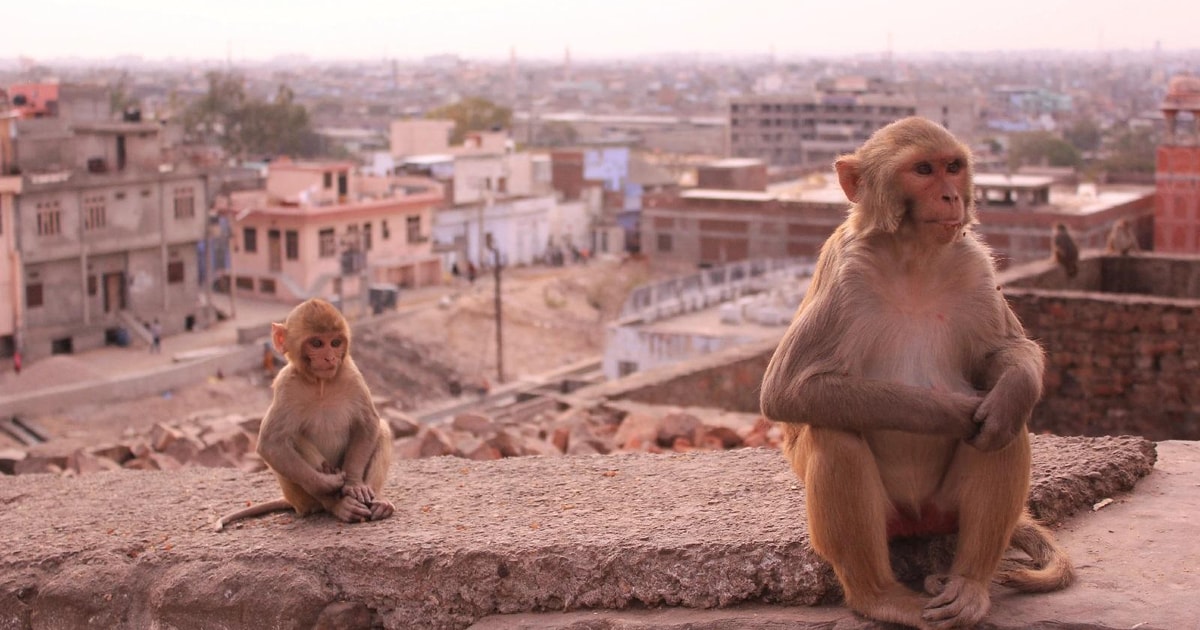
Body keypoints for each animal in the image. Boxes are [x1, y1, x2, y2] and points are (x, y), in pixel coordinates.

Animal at [215, 298, 394, 532]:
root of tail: (291, 501)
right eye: (317, 343)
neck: (321, 384)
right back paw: (339, 504)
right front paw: (327, 483)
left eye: (335, 343)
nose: (329, 357)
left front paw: (354, 484)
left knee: (382, 430)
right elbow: (270, 443)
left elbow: (369, 424)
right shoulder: (286, 385)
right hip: (300, 497)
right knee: (291, 439)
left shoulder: (352, 375)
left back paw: (377, 502)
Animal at [760, 117, 1072, 629]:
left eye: (953, 166)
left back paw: (969, 585)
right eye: (923, 170)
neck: (914, 258)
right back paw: (880, 596)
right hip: (886, 518)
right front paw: (951, 411)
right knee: (834, 434)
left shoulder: (974, 266)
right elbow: (788, 391)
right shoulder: (845, 272)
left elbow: (1004, 354)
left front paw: (1009, 393)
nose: (951, 196)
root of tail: (917, 519)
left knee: (1007, 431)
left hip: (945, 510)